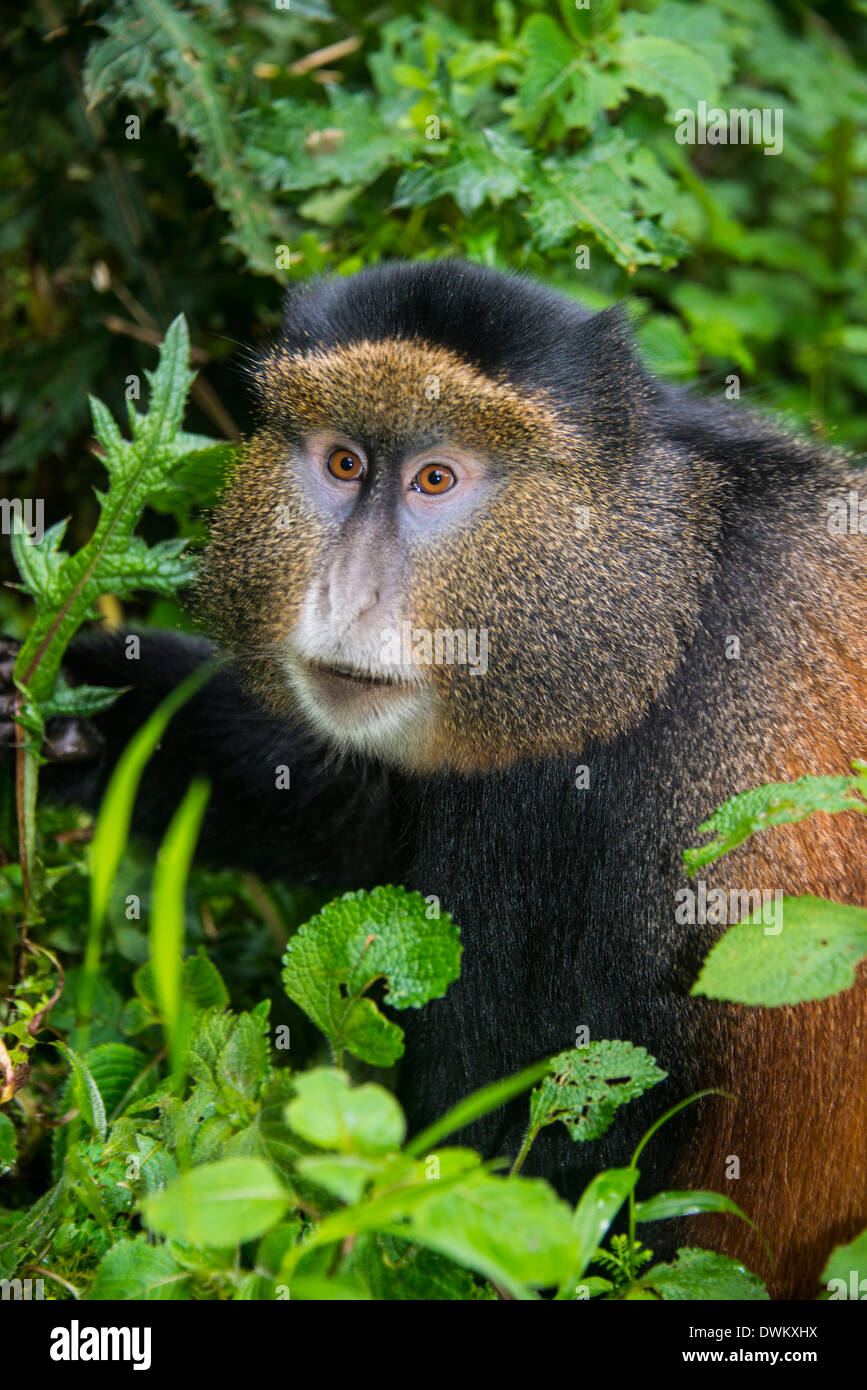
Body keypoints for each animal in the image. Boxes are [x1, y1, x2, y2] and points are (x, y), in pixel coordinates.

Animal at [2, 259, 866, 1299]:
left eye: (436, 479)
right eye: (343, 464)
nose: (350, 593)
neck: (663, 597)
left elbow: (522, 1171)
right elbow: (359, 811)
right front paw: (69, 711)